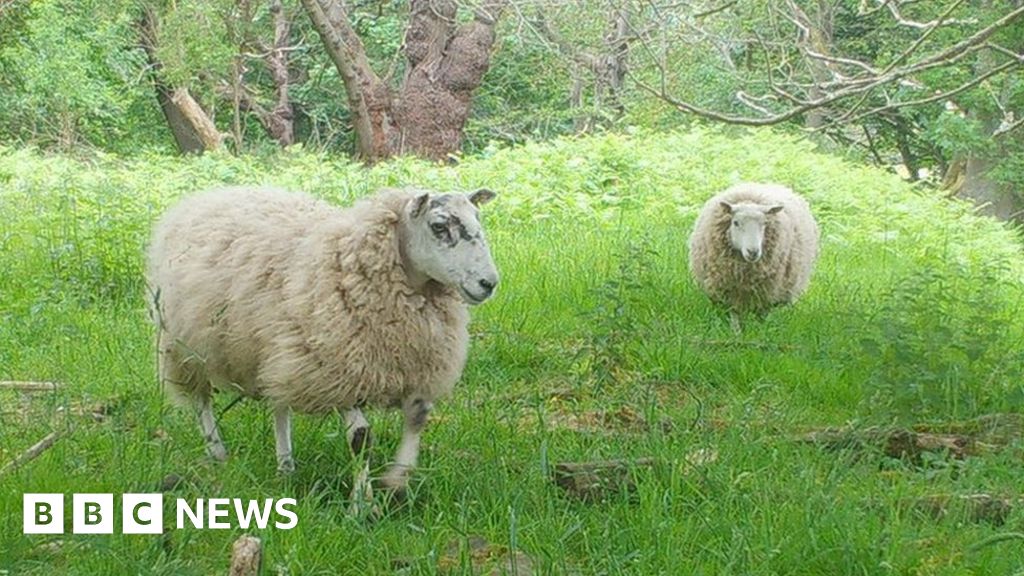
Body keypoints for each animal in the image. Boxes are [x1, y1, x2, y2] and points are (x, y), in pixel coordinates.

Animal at [146, 185, 499, 512]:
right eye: (439, 226)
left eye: (477, 219)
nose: (489, 283)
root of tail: (206, 195)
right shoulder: (339, 370)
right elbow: (361, 437)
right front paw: (362, 504)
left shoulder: (413, 371)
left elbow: (418, 418)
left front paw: (397, 480)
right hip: (185, 346)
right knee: (201, 400)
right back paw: (217, 451)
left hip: (278, 349)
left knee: (279, 403)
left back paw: (285, 464)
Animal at [688, 182, 819, 331]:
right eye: (736, 222)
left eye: (764, 223)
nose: (753, 252)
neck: (744, 274)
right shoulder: (730, 291)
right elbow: (735, 316)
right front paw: (736, 333)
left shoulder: (766, 294)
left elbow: (761, 317)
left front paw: (759, 331)